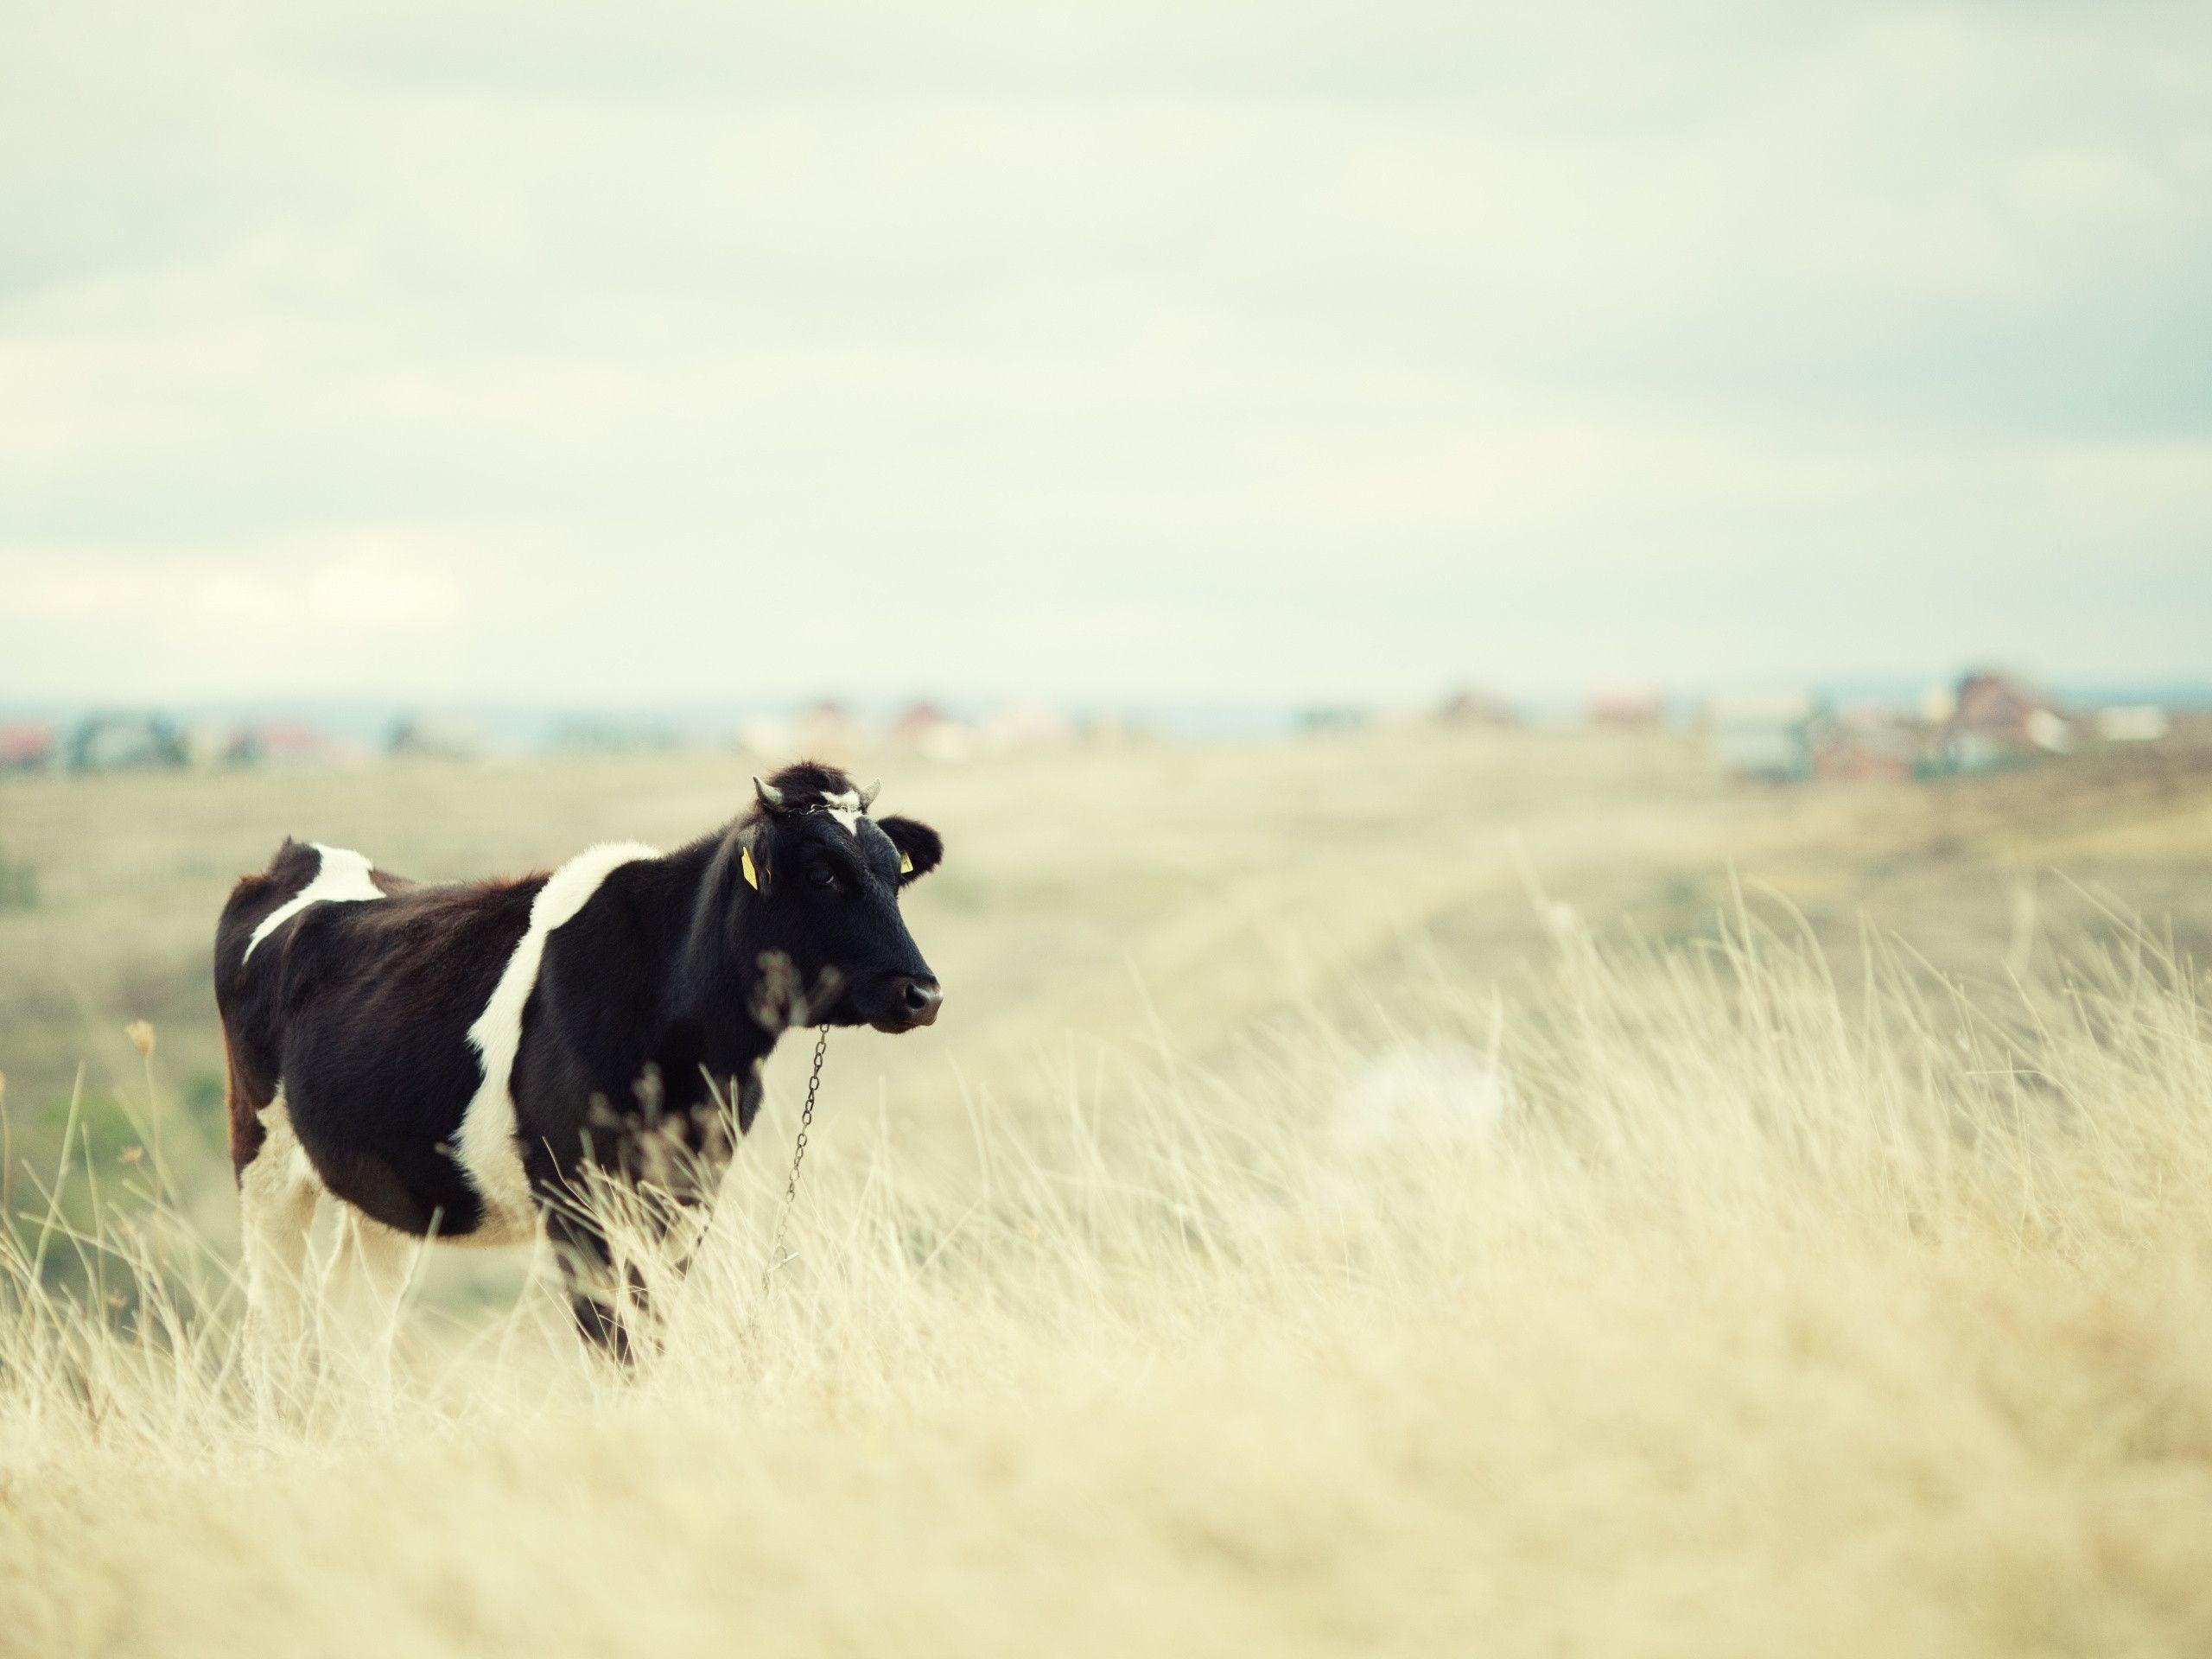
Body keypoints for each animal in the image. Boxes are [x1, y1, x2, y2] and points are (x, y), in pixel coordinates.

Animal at [213, 760, 944, 1361]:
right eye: (823, 873)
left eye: (894, 875)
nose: (923, 993)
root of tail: (298, 858)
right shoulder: (573, 1191)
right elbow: (612, 1338)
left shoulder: (690, 1190)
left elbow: (649, 1331)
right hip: (266, 1164)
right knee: (274, 1330)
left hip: (386, 1188)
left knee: (354, 1320)